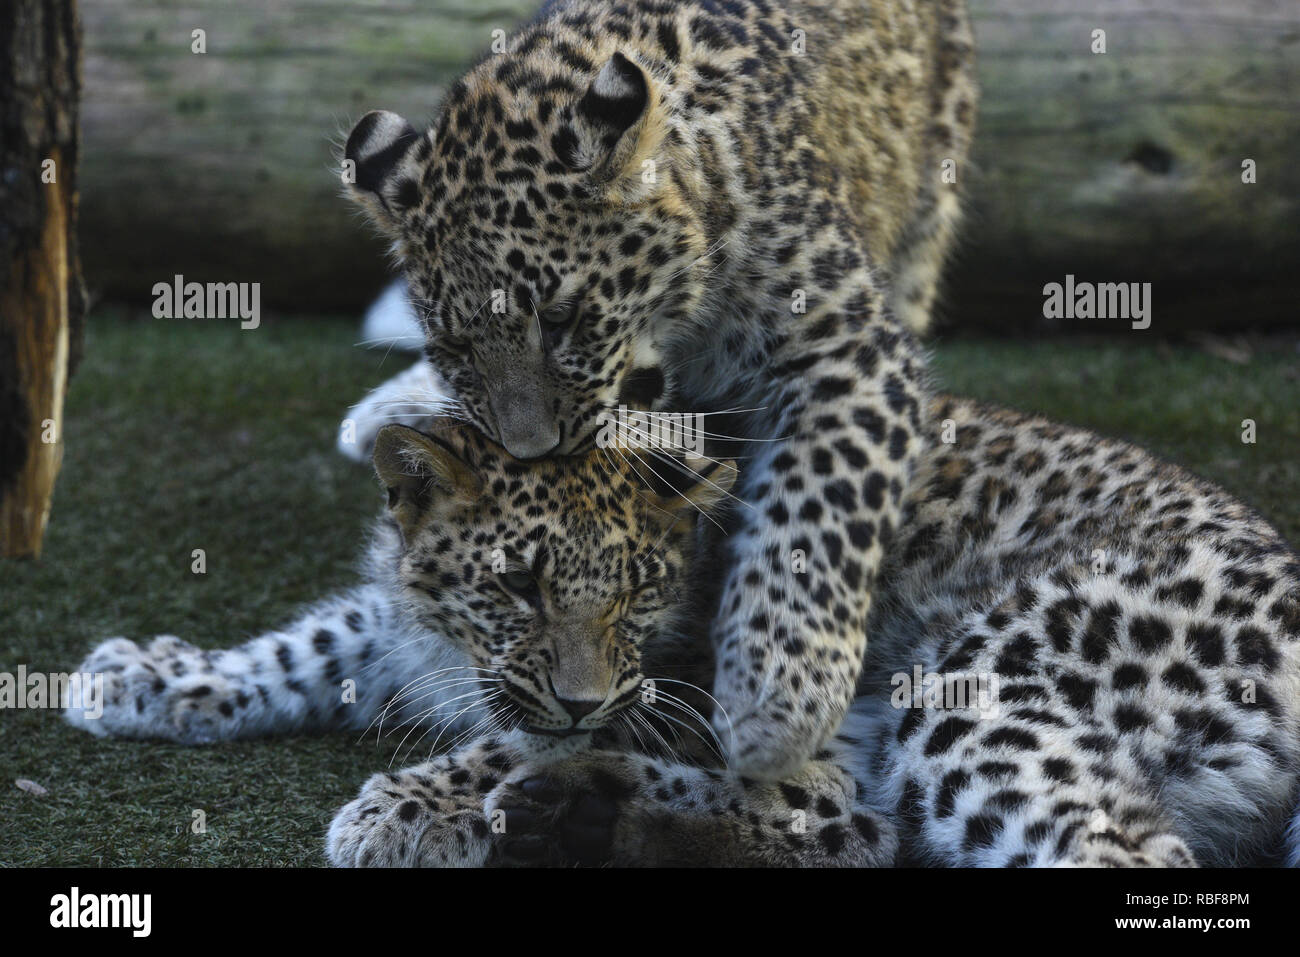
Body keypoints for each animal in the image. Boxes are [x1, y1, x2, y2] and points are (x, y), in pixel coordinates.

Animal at [338, 0, 979, 782]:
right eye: (456, 349)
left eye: (560, 319)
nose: (531, 450)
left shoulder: (848, 347)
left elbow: (819, 509)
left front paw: (777, 693)